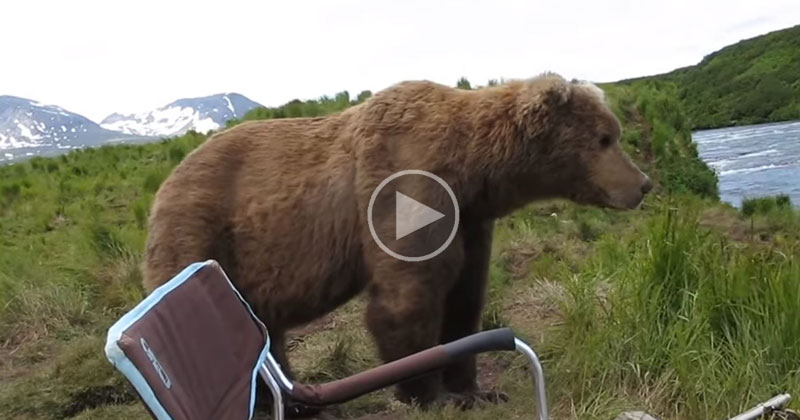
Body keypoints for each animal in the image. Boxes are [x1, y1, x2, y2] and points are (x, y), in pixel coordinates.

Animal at [143, 73, 652, 411]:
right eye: (605, 138)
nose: (643, 184)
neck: (471, 169)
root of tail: (164, 185)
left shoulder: (470, 220)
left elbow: (465, 298)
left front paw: (477, 388)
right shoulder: (405, 186)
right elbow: (408, 298)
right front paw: (425, 392)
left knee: (267, 334)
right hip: (200, 234)